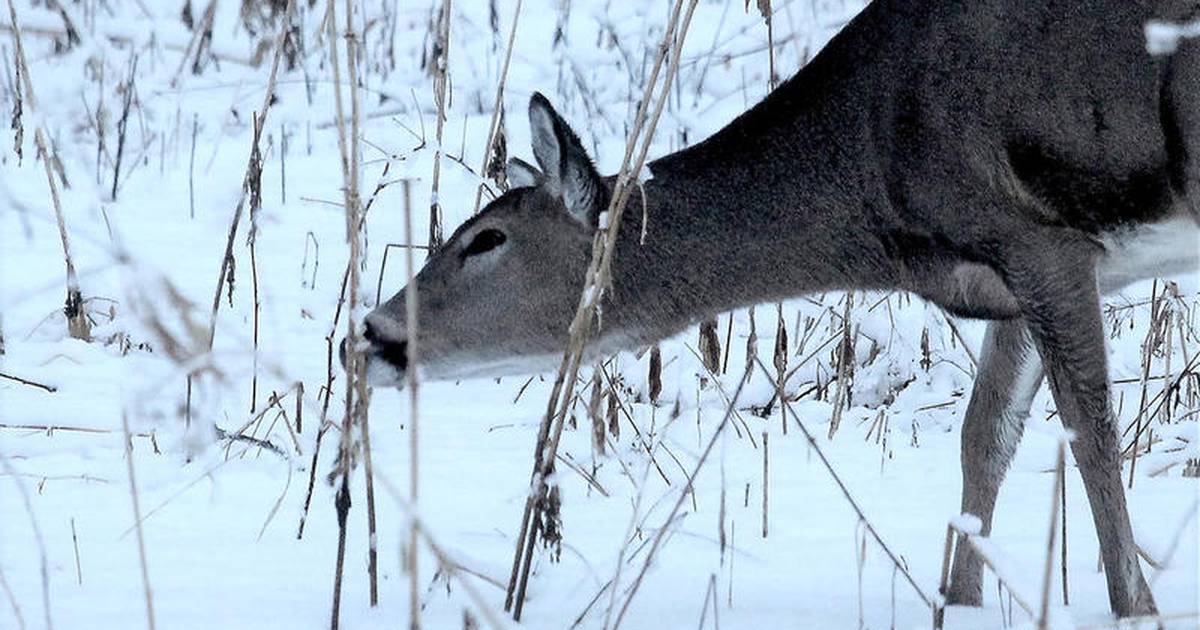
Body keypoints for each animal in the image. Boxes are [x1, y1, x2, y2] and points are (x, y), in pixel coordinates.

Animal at [349, 0, 1200, 619]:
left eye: (485, 238)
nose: (373, 332)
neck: (871, 166)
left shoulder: (1046, 243)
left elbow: (1092, 437)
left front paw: (1136, 609)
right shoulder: (1010, 281)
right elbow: (985, 436)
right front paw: (958, 601)